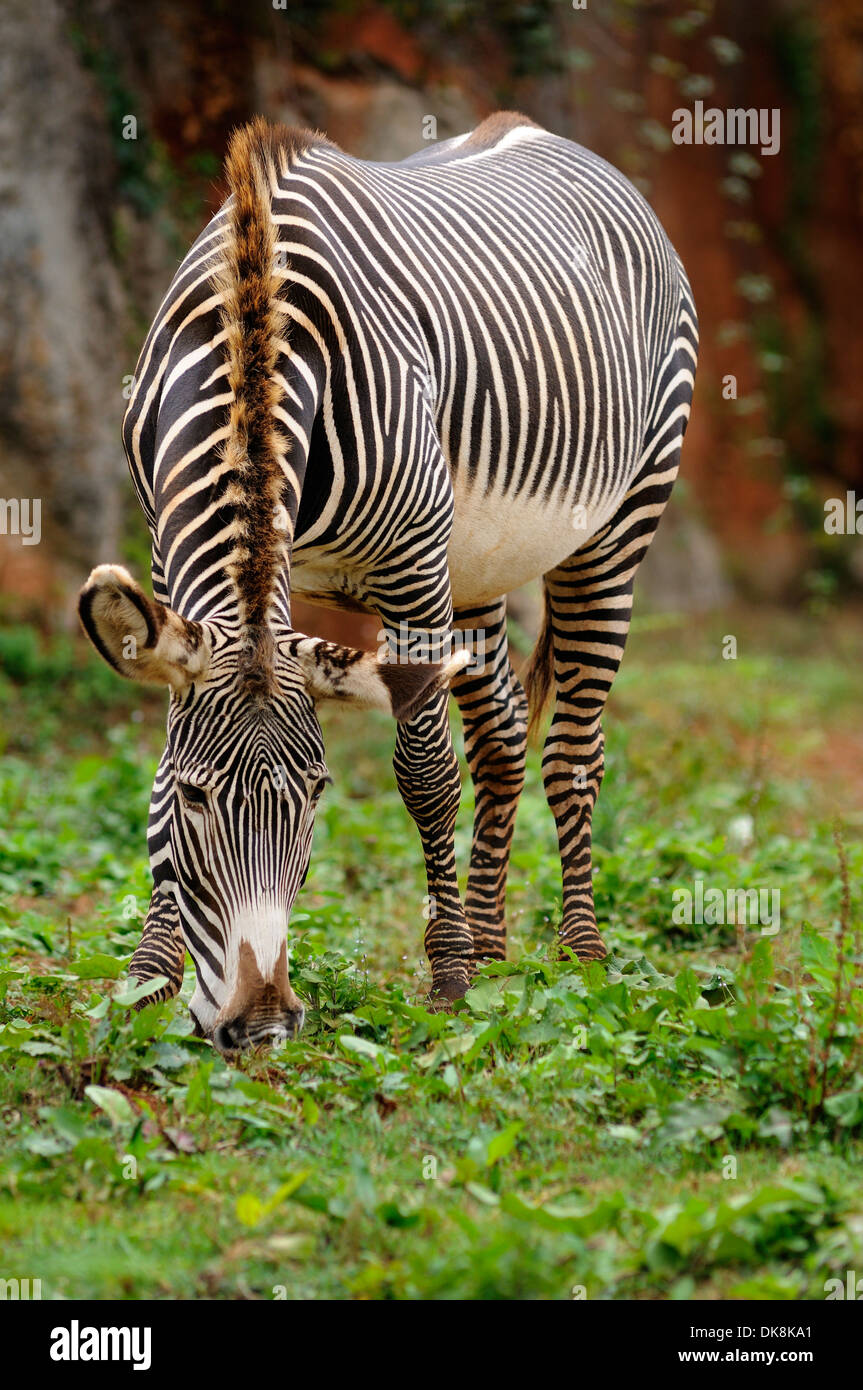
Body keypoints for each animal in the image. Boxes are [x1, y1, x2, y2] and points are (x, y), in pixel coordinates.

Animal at [78, 113, 697, 1053]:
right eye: (194, 798)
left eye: (316, 797)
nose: (261, 1027)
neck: (252, 313)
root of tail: (541, 131)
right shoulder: (165, 561)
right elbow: (153, 773)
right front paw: (149, 981)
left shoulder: (409, 568)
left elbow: (425, 773)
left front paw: (446, 979)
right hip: (475, 566)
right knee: (503, 736)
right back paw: (495, 951)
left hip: (614, 525)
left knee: (572, 751)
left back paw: (577, 956)